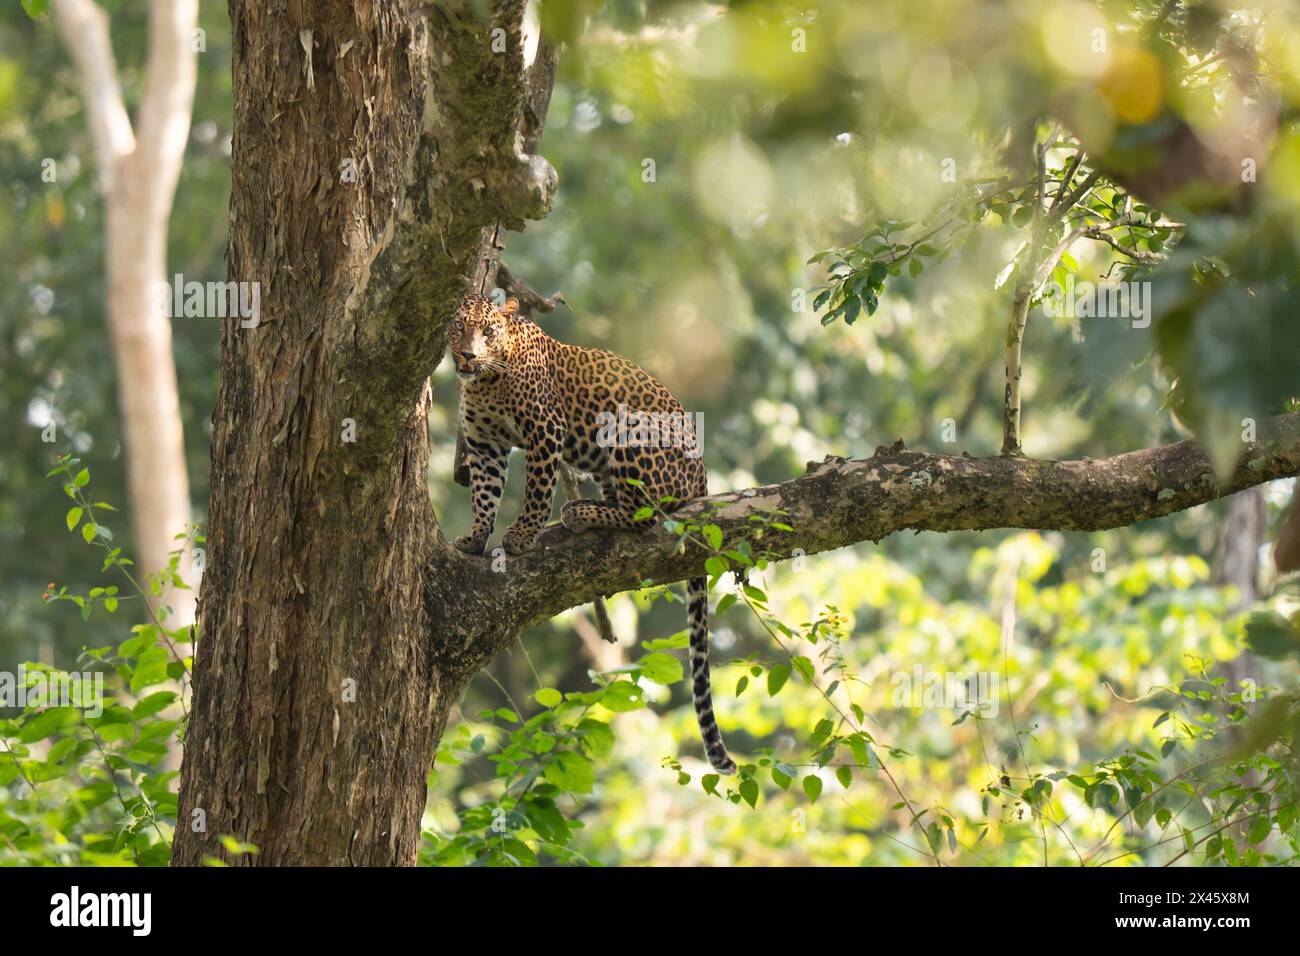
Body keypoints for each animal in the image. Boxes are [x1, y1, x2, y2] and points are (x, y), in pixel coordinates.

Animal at [448, 292, 737, 774]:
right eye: (459, 329)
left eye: (487, 332)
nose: (468, 355)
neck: (487, 381)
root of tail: (701, 476)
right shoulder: (485, 444)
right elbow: (484, 495)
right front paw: (474, 538)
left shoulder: (544, 429)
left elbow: (537, 489)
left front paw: (522, 534)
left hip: (627, 430)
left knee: (646, 514)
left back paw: (577, 512)